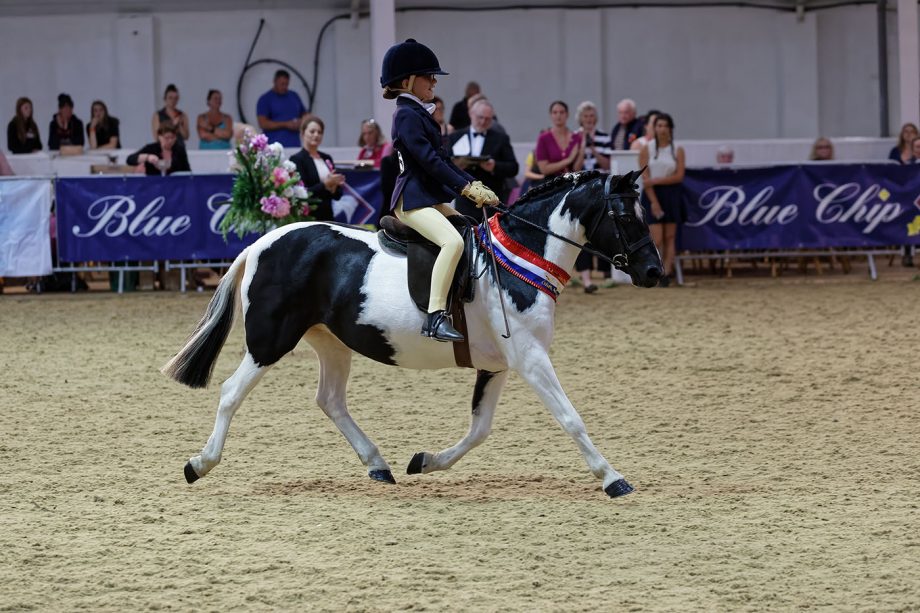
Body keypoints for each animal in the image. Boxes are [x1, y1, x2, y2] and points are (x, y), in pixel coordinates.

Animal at [162, 169, 663, 498]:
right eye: (625, 217)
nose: (654, 272)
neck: (519, 257)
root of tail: (260, 243)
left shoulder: (500, 364)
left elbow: (480, 429)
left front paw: (425, 462)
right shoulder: (531, 357)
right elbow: (570, 418)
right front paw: (612, 478)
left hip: (331, 341)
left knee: (330, 400)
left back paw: (378, 465)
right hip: (270, 341)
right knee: (231, 392)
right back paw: (199, 464)